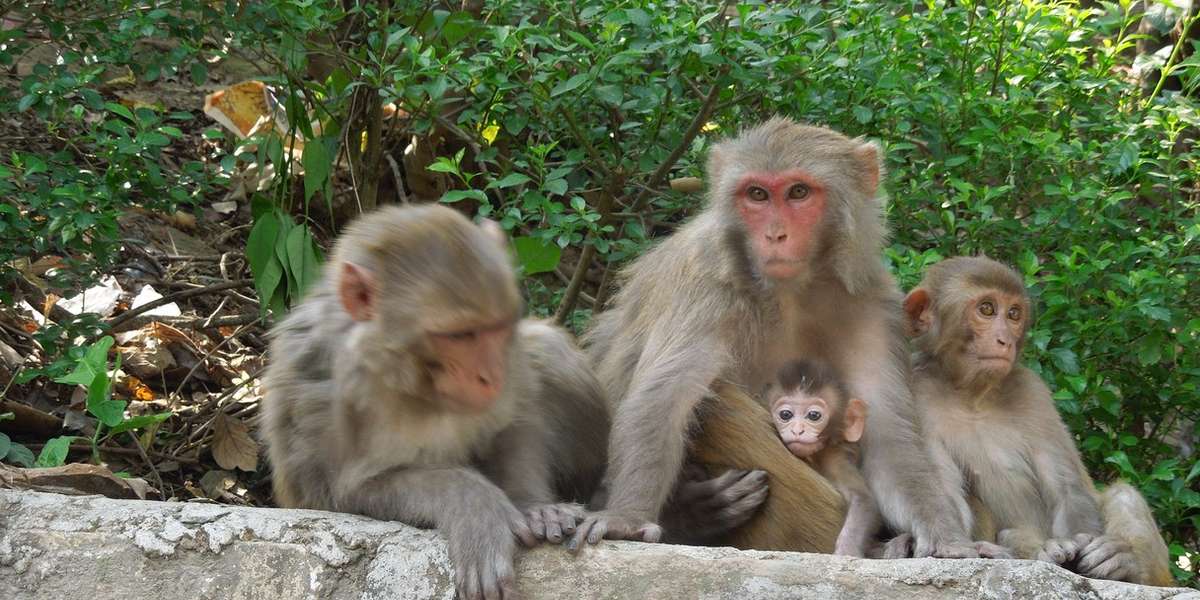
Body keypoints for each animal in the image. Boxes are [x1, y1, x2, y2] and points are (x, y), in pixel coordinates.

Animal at [260, 204, 611, 600]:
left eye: (497, 326)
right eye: (459, 335)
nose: (491, 376)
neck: (411, 382)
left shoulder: (509, 355)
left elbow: (514, 421)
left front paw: (534, 506)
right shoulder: (322, 400)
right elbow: (344, 493)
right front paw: (474, 507)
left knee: (545, 348)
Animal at [765, 359, 880, 557]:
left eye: (813, 415)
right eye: (785, 415)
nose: (797, 430)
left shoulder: (834, 459)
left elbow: (862, 498)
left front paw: (847, 549)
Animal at [897, 255, 1174, 586]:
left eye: (1013, 314)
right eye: (987, 309)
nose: (1005, 340)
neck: (972, 396)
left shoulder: (1033, 392)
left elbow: (1067, 490)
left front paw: (1093, 551)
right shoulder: (916, 394)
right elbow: (941, 496)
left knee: (1123, 495)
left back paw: (1125, 564)